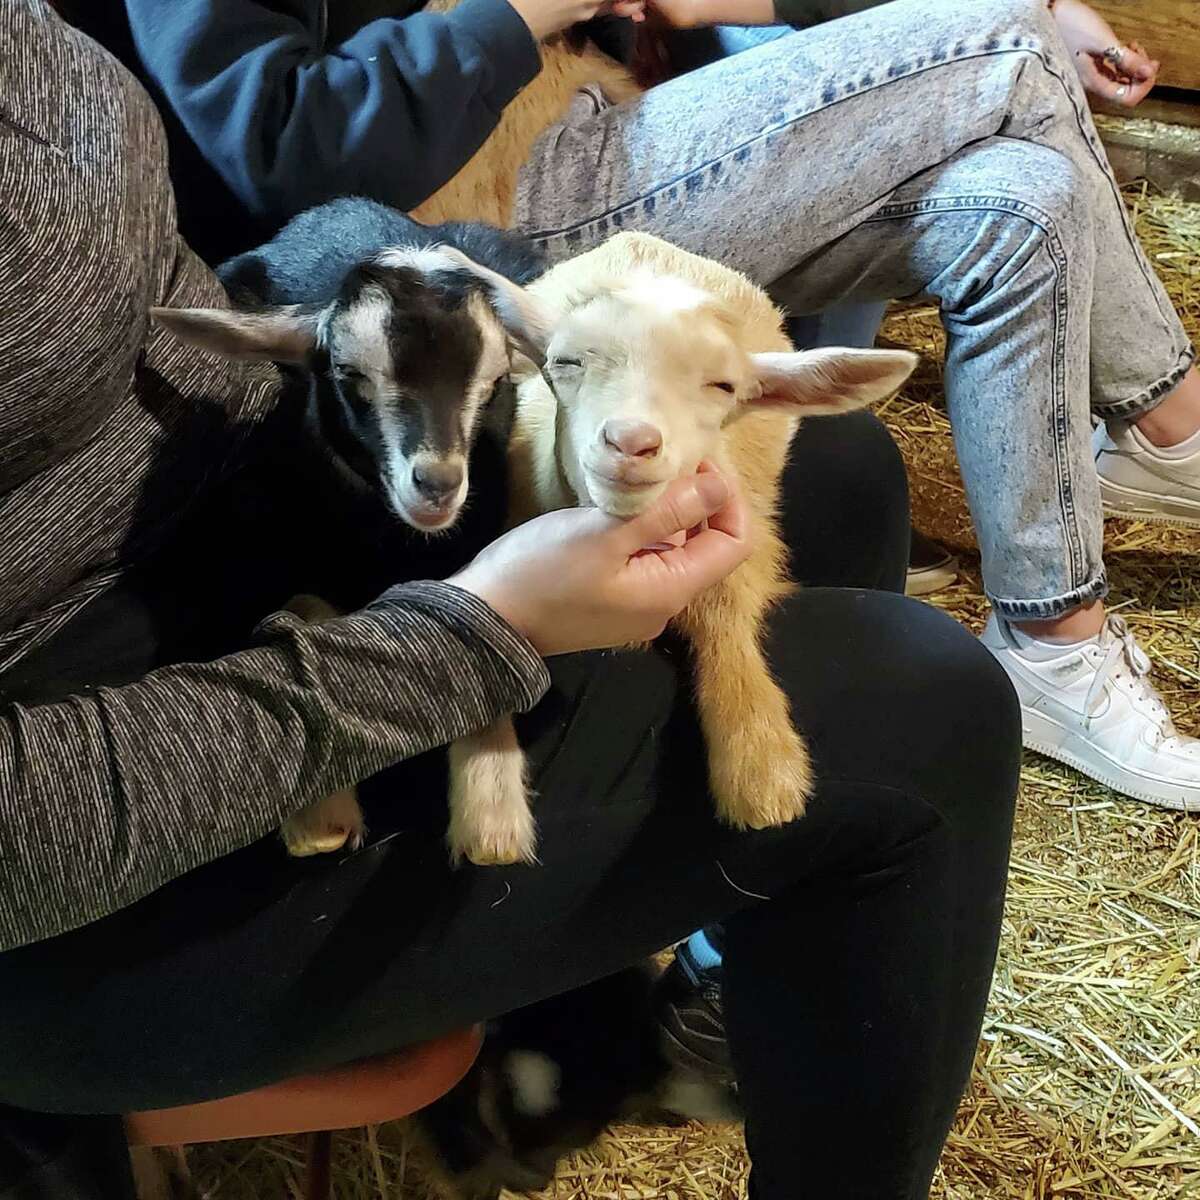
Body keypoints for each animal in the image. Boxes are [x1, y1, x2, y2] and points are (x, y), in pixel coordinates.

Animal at [438, 231, 917, 865]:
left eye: (723, 387)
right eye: (565, 362)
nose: (630, 442)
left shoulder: (748, 537)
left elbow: (725, 612)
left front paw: (760, 767)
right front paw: (488, 804)